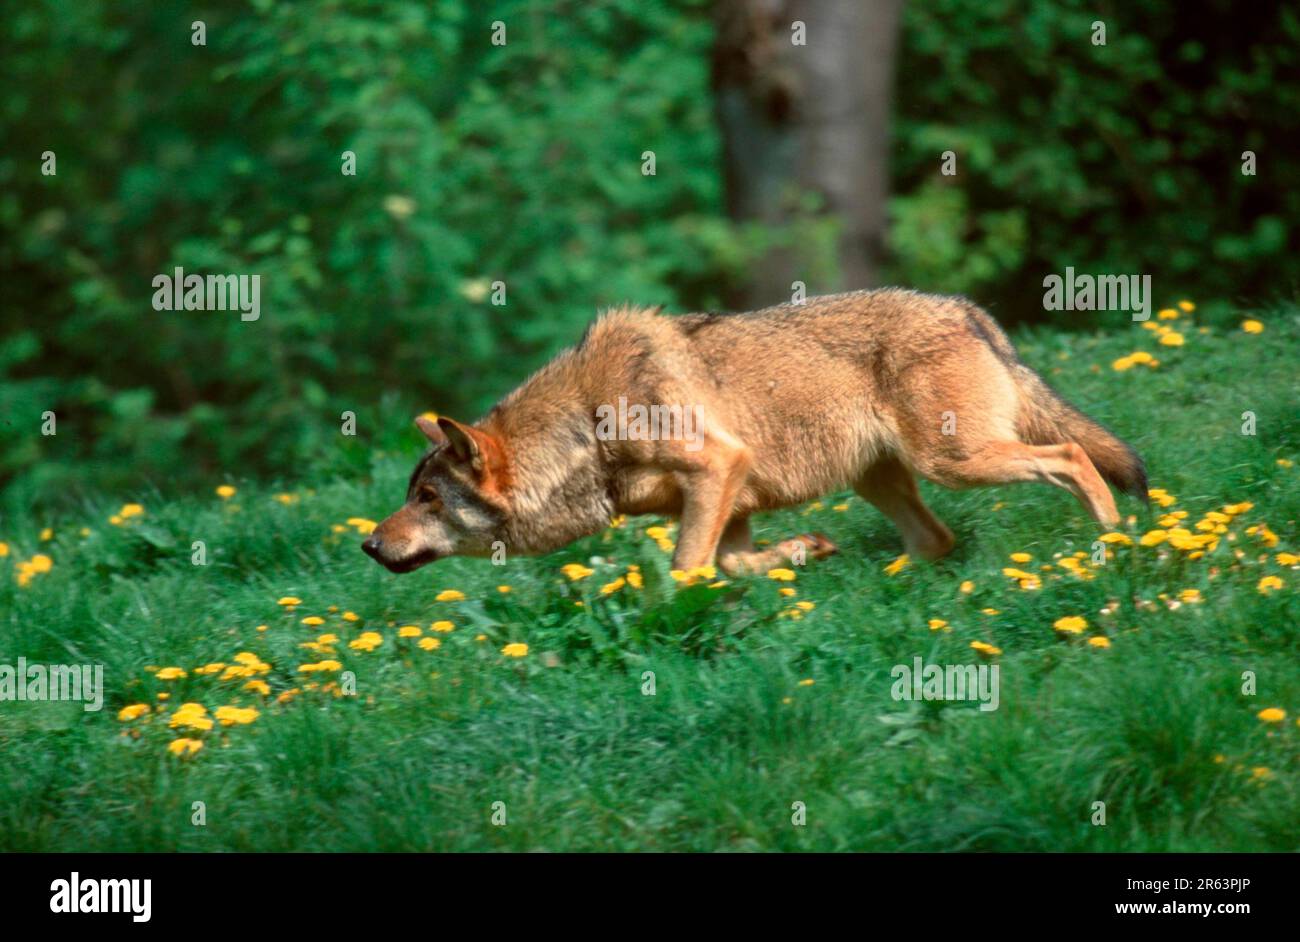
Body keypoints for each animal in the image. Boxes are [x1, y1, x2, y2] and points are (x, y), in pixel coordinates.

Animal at [363, 290, 1146, 576]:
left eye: (428, 499)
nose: (368, 544)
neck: (586, 424)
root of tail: (969, 310)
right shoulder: (729, 501)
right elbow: (733, 565)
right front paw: (806, 551)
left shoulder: (718, 468)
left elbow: (684, 571)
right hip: (884, 478)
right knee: (936, 541)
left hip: (954, 460)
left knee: (1072, 455)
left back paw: (1115, 542)